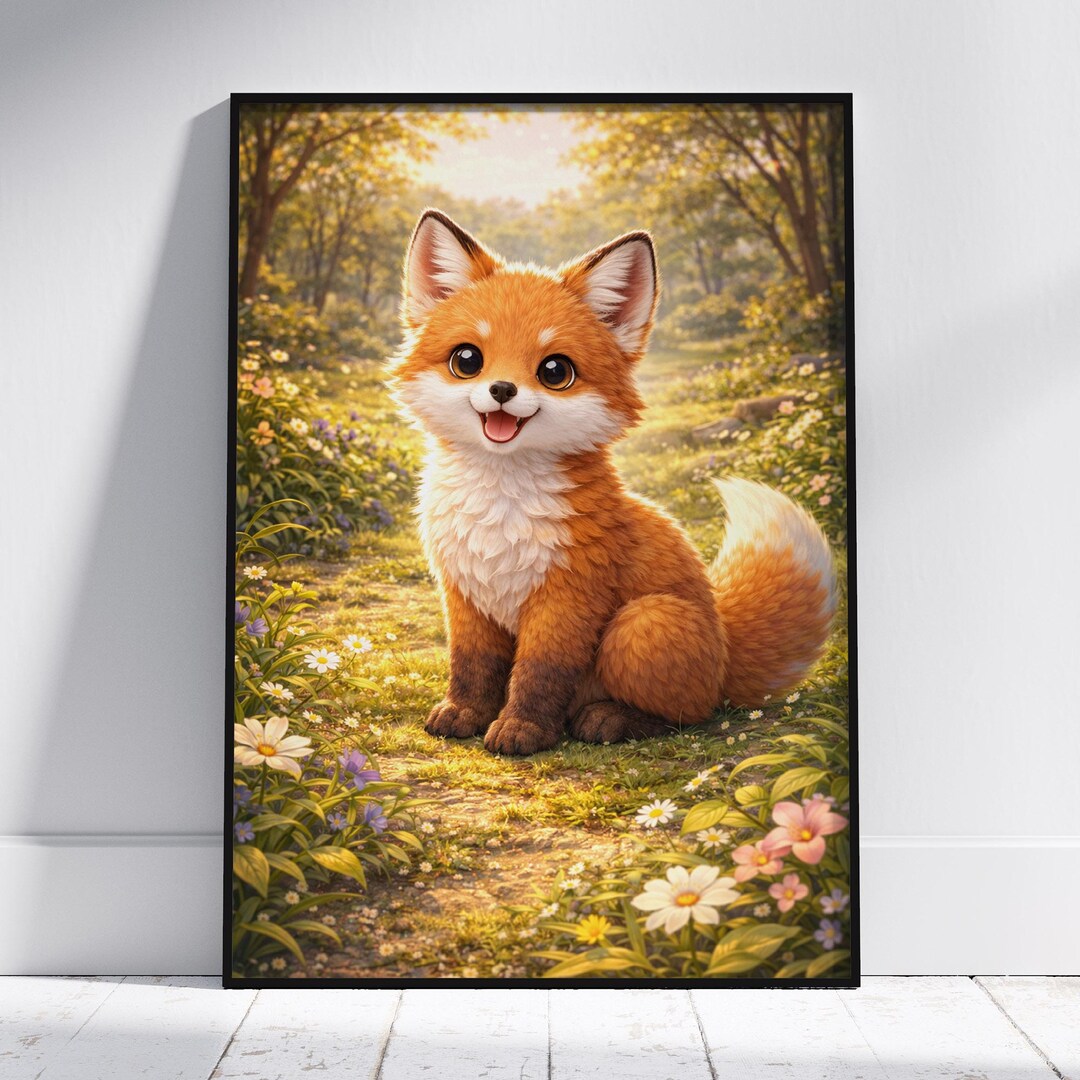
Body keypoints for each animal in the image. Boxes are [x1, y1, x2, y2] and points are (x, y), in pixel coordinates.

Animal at [388, 209, 838, 756]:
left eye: (555, 370)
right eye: (467, 360)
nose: (501, 390)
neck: (501, 509)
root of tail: (725, 649)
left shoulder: (569, 596)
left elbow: (539, 673)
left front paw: (522, 729)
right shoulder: (465, 594)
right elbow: (471, 666)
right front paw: (464, 714)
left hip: (641, 624)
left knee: (691, 714)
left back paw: (609, 719)